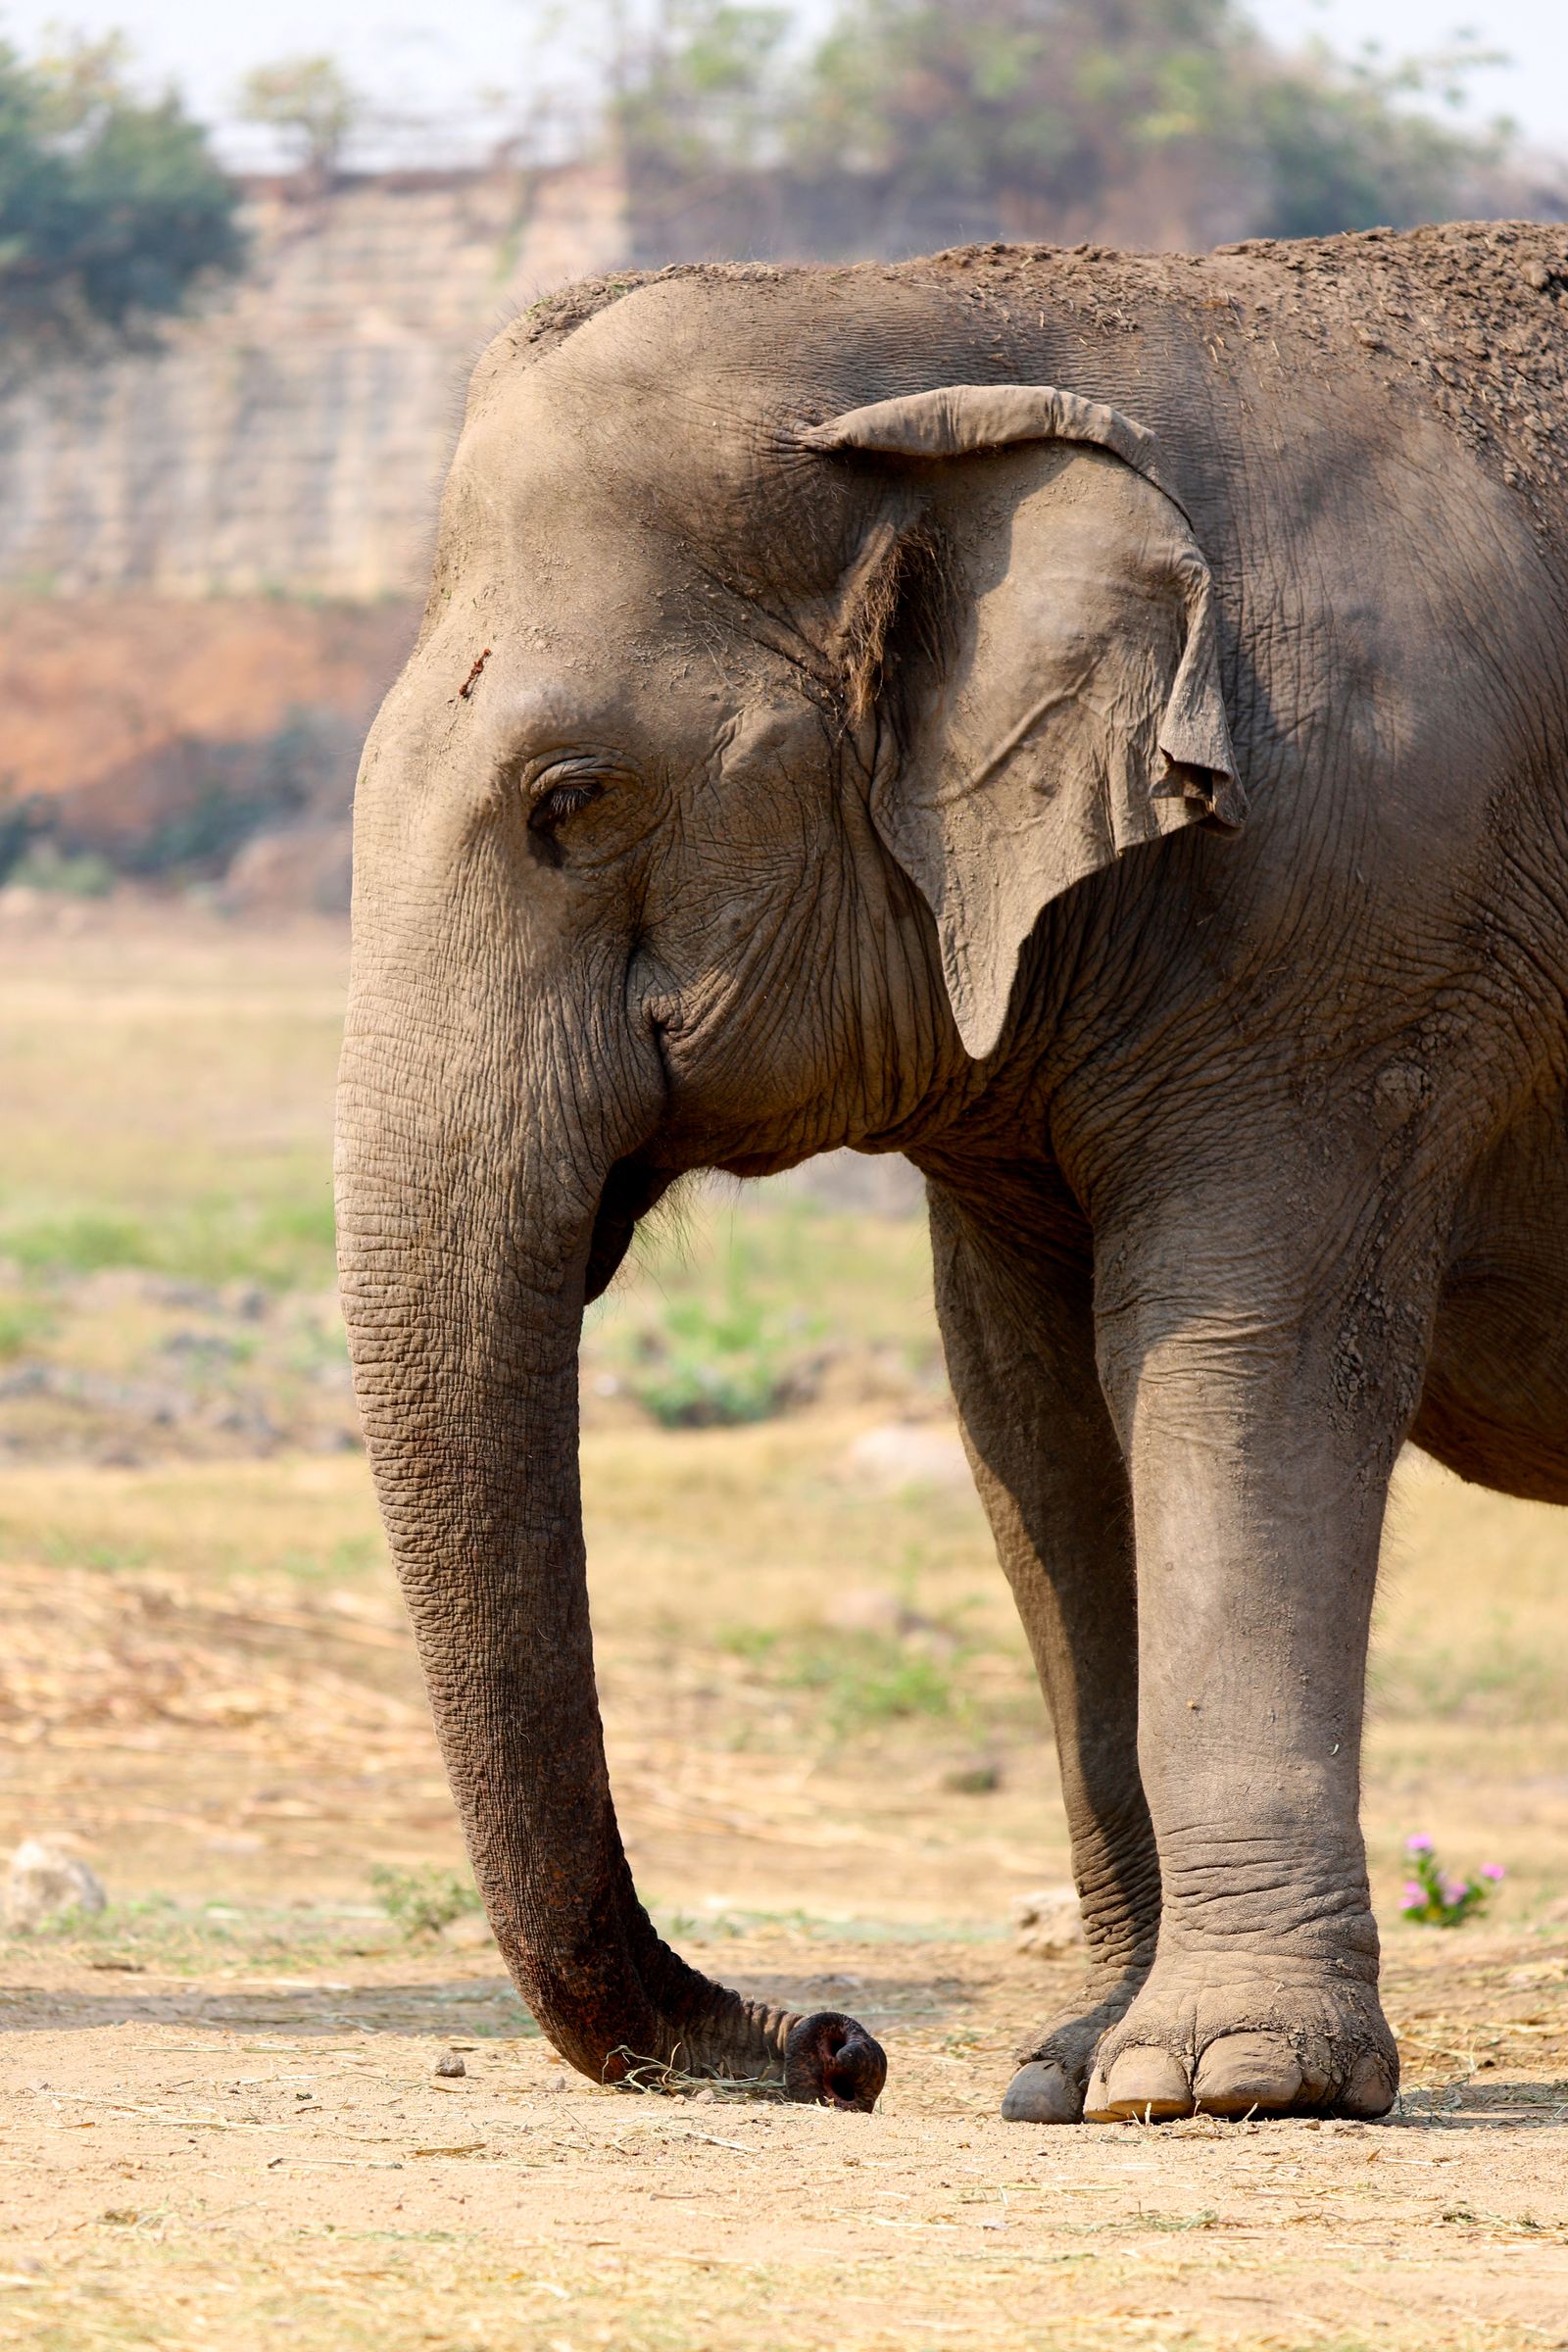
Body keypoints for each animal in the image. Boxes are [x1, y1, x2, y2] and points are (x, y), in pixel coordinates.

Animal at [335, 222, 1568, 2123]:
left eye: (574, 798)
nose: (841, 2045)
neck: (926, 341)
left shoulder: (1368, 921)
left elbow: (1237, 1359)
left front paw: (1219, 2082)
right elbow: (1033, 1414)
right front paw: (1073, 2073)